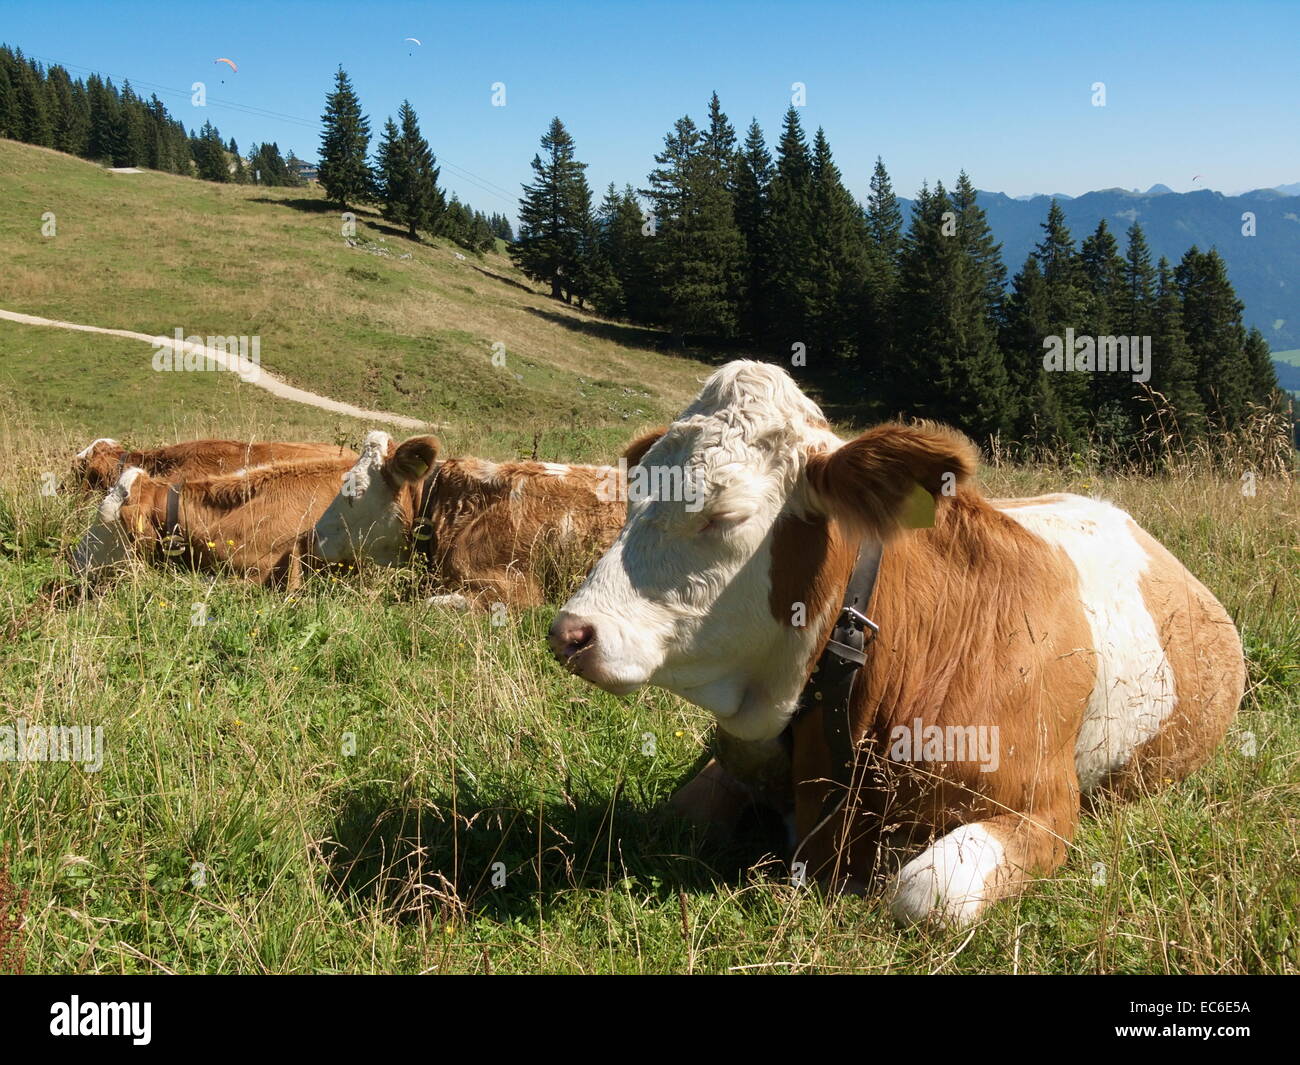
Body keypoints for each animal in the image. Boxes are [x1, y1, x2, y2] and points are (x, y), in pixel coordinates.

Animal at [548, 360, 1245, 926]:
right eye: (634, 494)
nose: (571, 632)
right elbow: (678, 815)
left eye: (725, 515)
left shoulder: (1045, 811)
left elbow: (924, 893)